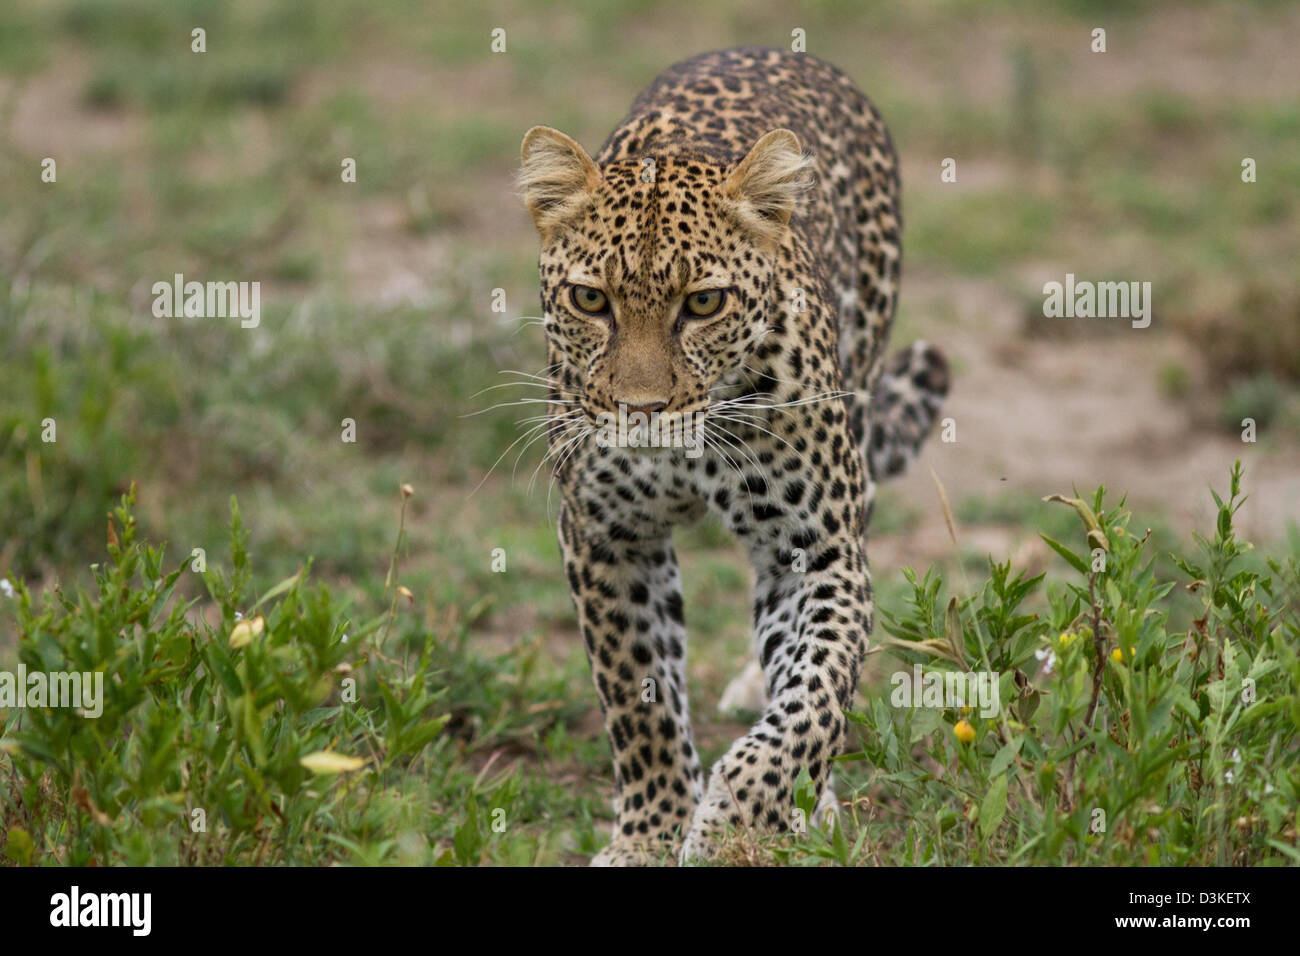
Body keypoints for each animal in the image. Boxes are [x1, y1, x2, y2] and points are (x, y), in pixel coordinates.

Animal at [517, 46, 949, 865]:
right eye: (591, 301)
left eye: (704, 303)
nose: (642, 411)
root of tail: (782, 50)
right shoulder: (603, 538)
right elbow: (638, 700)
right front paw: (649, 836)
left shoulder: (816, 548)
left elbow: (816, 696)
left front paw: (736, 821)